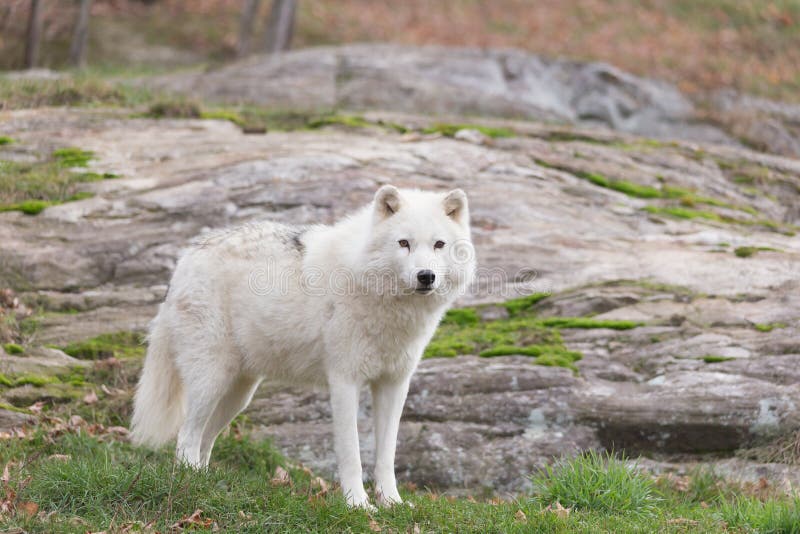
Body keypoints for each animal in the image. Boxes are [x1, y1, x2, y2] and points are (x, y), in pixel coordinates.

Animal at [131, 185, 475, 508]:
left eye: (439, 244)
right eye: (404, 243)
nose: (426, 276)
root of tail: (185, 259)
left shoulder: (394, 384)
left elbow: (386, 455)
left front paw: (392, 503)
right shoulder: (344, 382)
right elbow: (351, 454)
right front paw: (358, 505)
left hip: (238, 395)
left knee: (204, 439)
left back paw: (207, 484)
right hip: (211, 381)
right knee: (186, 437)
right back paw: (191, 486)